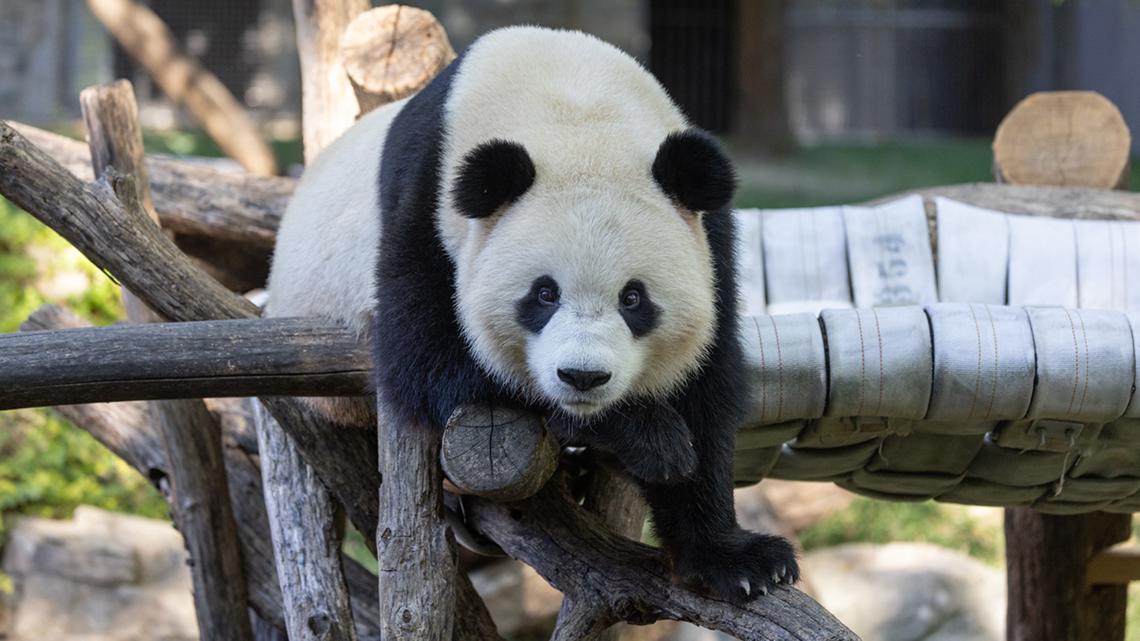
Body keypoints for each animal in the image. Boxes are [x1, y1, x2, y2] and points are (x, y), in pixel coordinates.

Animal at [267, 26, 798, 601]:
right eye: (544, 295)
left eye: (633, 299)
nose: (583, 377)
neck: (574, 109)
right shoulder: (424, 204)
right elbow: (428, 360)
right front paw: (649, 439)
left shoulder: (709, 238)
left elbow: (706, 386)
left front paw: (736, 558)